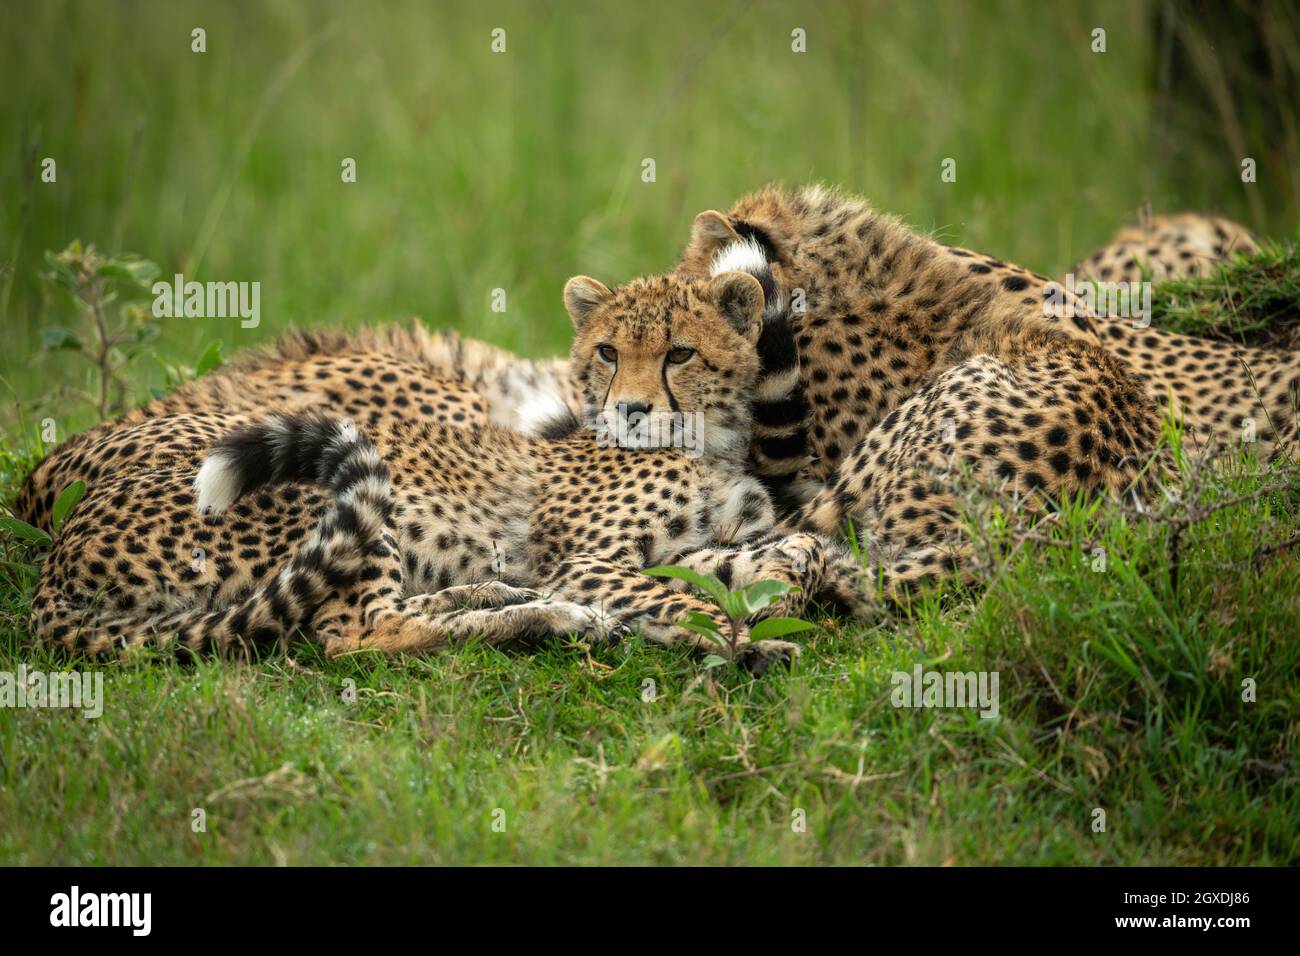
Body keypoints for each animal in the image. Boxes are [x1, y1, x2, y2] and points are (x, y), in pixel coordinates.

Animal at [27, 266, 868, 673]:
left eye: (679, 354)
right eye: (606, 352)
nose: (631, 409)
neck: (709, 441)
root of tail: (59, 554)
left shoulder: (699, 544)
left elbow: (774, 554)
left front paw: (805, 586)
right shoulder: (586, 560)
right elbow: (685, 598)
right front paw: (738, 643)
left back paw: (505, 599)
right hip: (345, 500)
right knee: (356, 632)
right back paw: (547, 618)